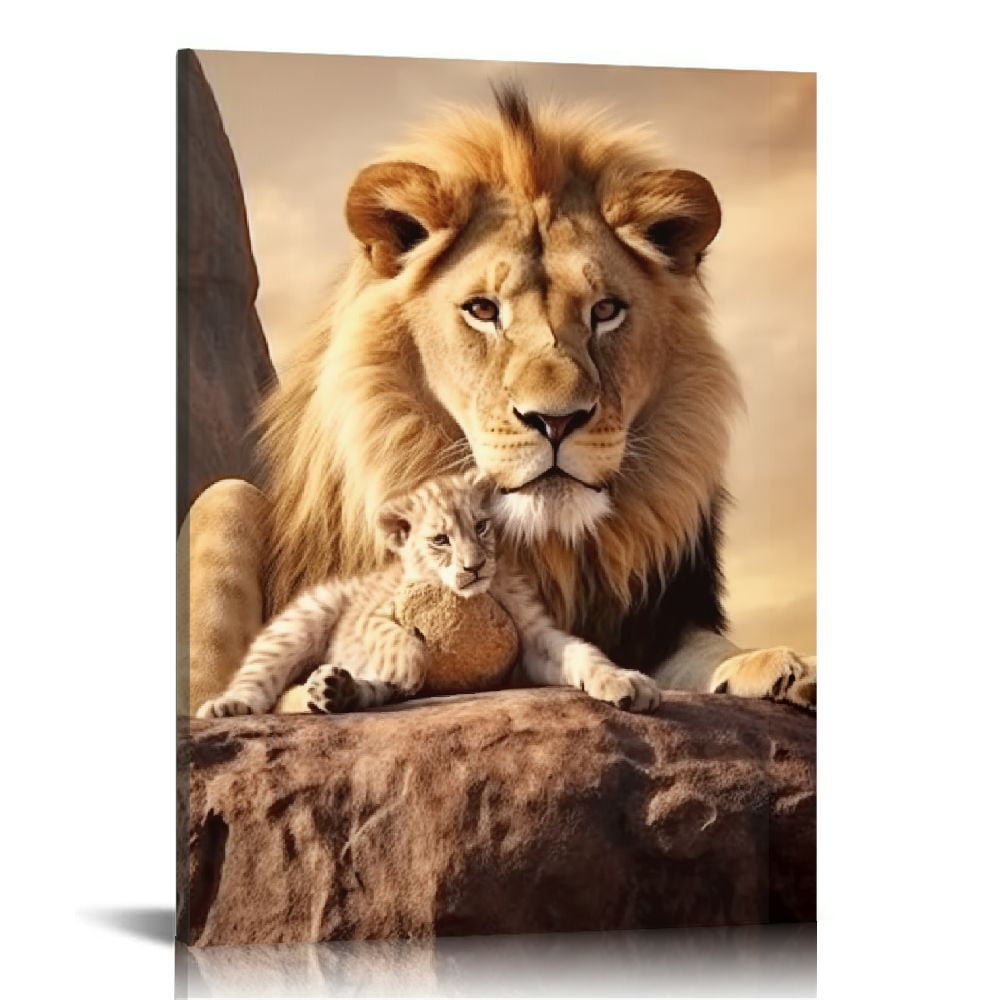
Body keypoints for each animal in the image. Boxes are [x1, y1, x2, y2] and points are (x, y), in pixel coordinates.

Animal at [181, 84, 816, 716]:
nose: (556, 421)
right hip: (227, 499)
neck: (547, 545)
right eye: (483, 310)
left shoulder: (656, 619)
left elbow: (707, 651)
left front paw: (786, 667)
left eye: (606, 310)